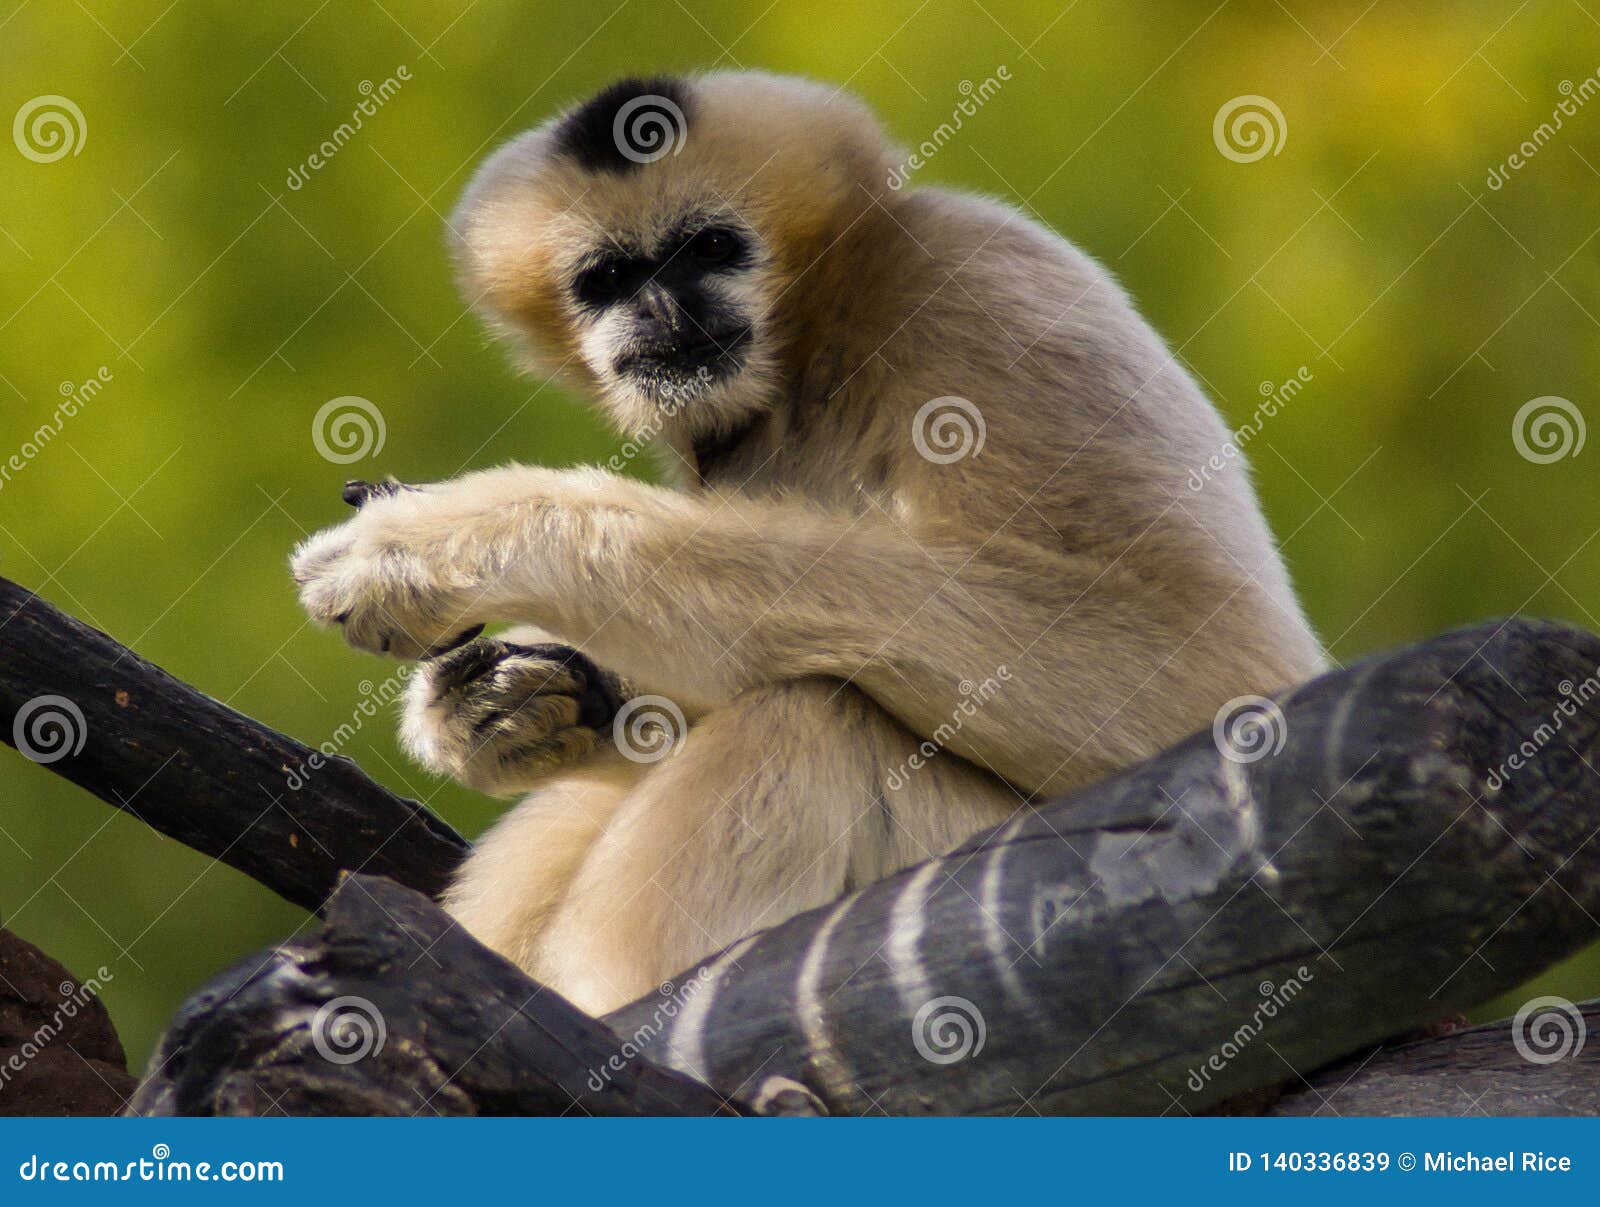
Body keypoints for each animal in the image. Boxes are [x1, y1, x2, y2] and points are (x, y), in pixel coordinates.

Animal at [291, 71, 1326, 1016]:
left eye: (708, 248)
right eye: (611, 278)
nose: (661, 310)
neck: (815, 341)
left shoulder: (979, 281)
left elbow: (1210, 670)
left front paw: (449, 539)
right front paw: (514, 704)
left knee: (813, 719)